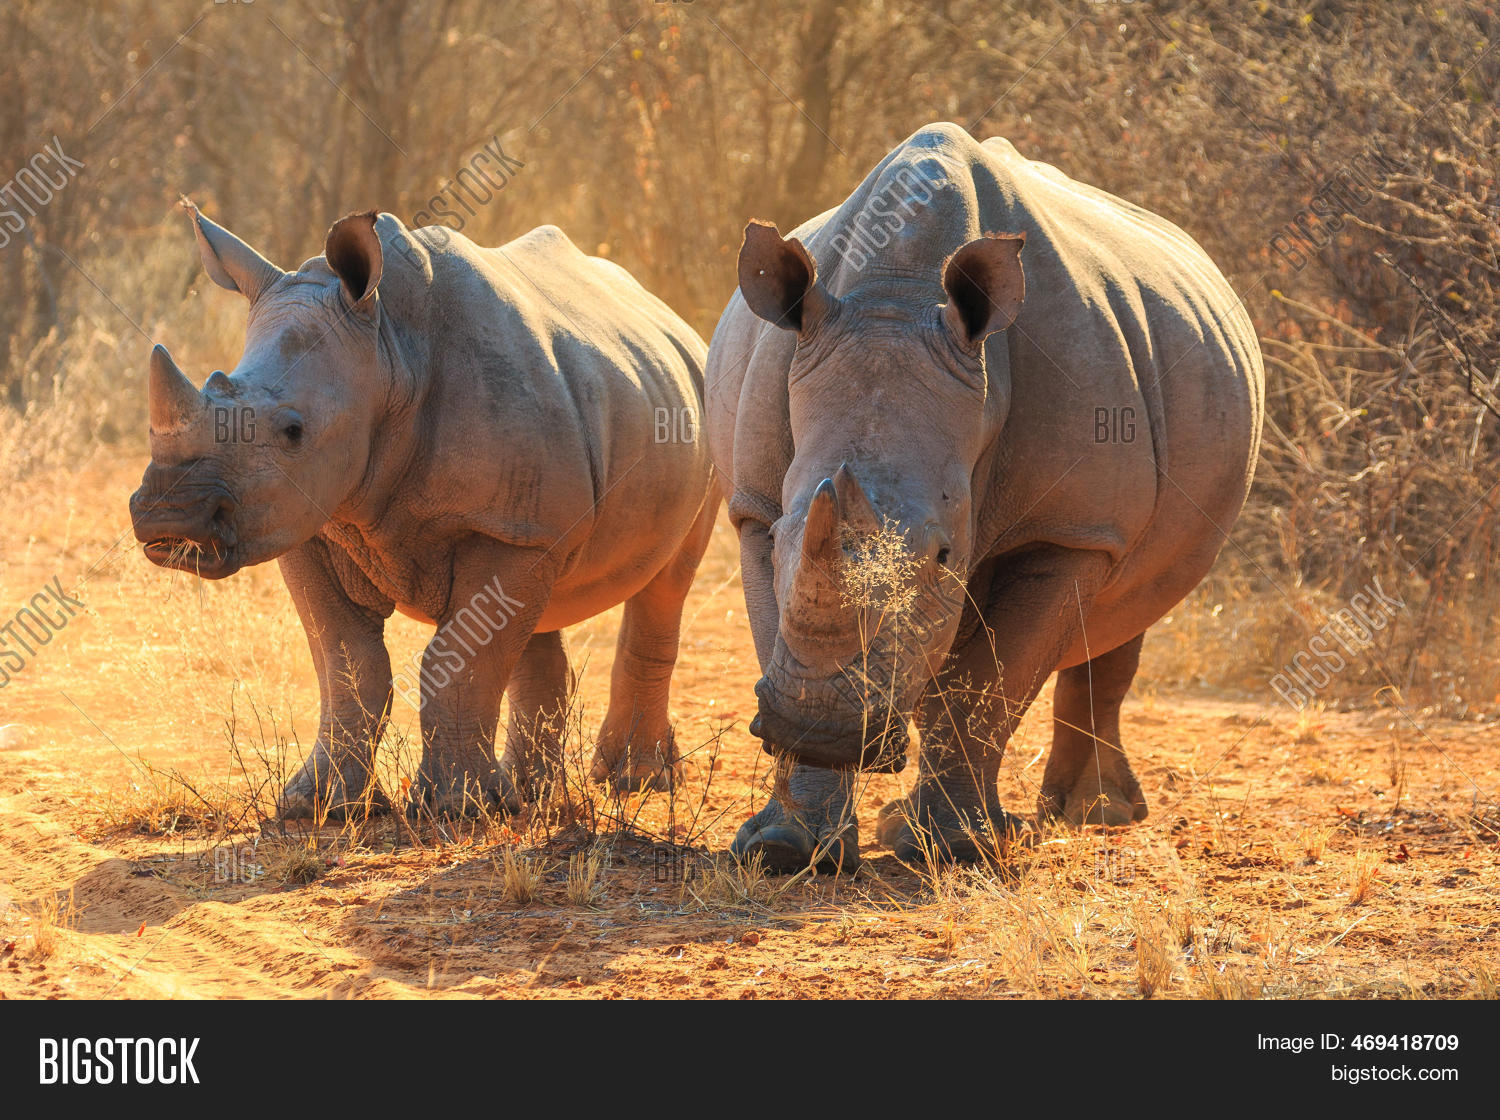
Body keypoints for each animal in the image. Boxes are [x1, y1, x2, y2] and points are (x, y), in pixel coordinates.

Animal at [130, 204, 718, 818]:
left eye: (293, 430)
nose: (168, 519)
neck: (390, 350)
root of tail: (670, 315)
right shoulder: (311, 525)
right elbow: (346, 662)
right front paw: (318, 805)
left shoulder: (498, 528)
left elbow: (457, 658)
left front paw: (454, 808)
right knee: (542, 604)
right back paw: (528, 794)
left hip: (698, 402)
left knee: (666, 583)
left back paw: (634, 782)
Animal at [706, 123, 1263, 870]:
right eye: (782, 537)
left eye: (945, 556)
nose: (817, 729)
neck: (900, 294)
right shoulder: (755, 507)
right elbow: (783, 632)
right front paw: (786, 849)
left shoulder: (1069, 529)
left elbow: (991, 686)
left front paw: (954, 850)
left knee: (1122, 608)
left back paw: (1091, 815)